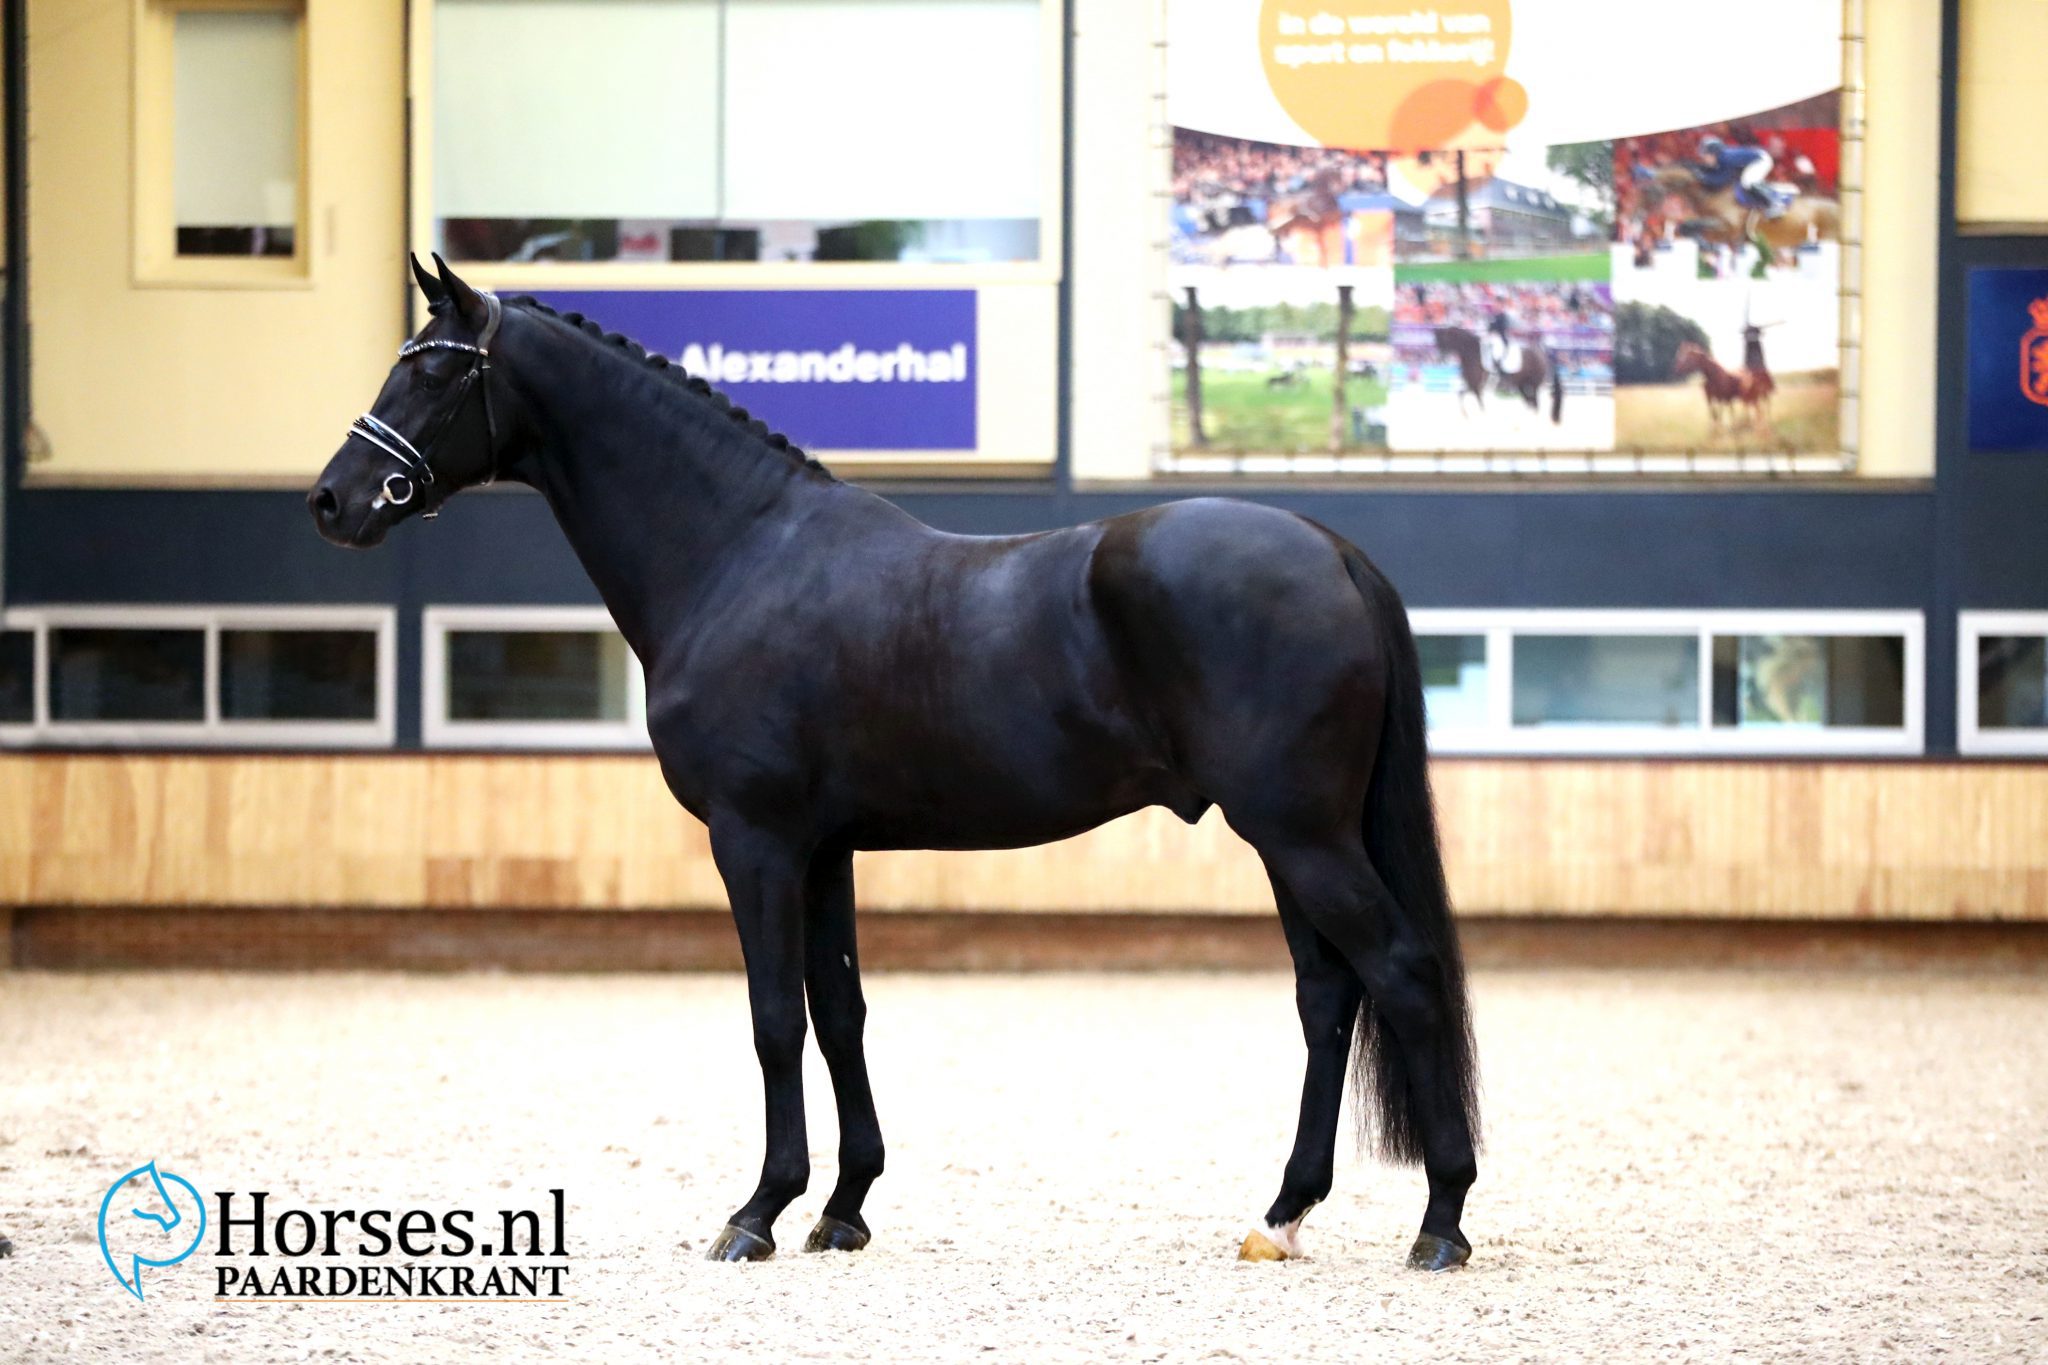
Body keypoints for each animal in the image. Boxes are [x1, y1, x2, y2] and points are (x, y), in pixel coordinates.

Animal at [310, 256, 1482, 1273]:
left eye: (431, 369)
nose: (333, 498)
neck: (740, 553)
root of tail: (1330, 549)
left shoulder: (755, 841)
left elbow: (774, 1018)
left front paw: (757, 1211)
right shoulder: (825, 850)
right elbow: (840, 1013)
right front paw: (842, 1208)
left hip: (1298, 833)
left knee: (1402, 973)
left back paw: (1440, 1221)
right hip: (1291, 841)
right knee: (1328, 997)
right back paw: (1281, 1215)